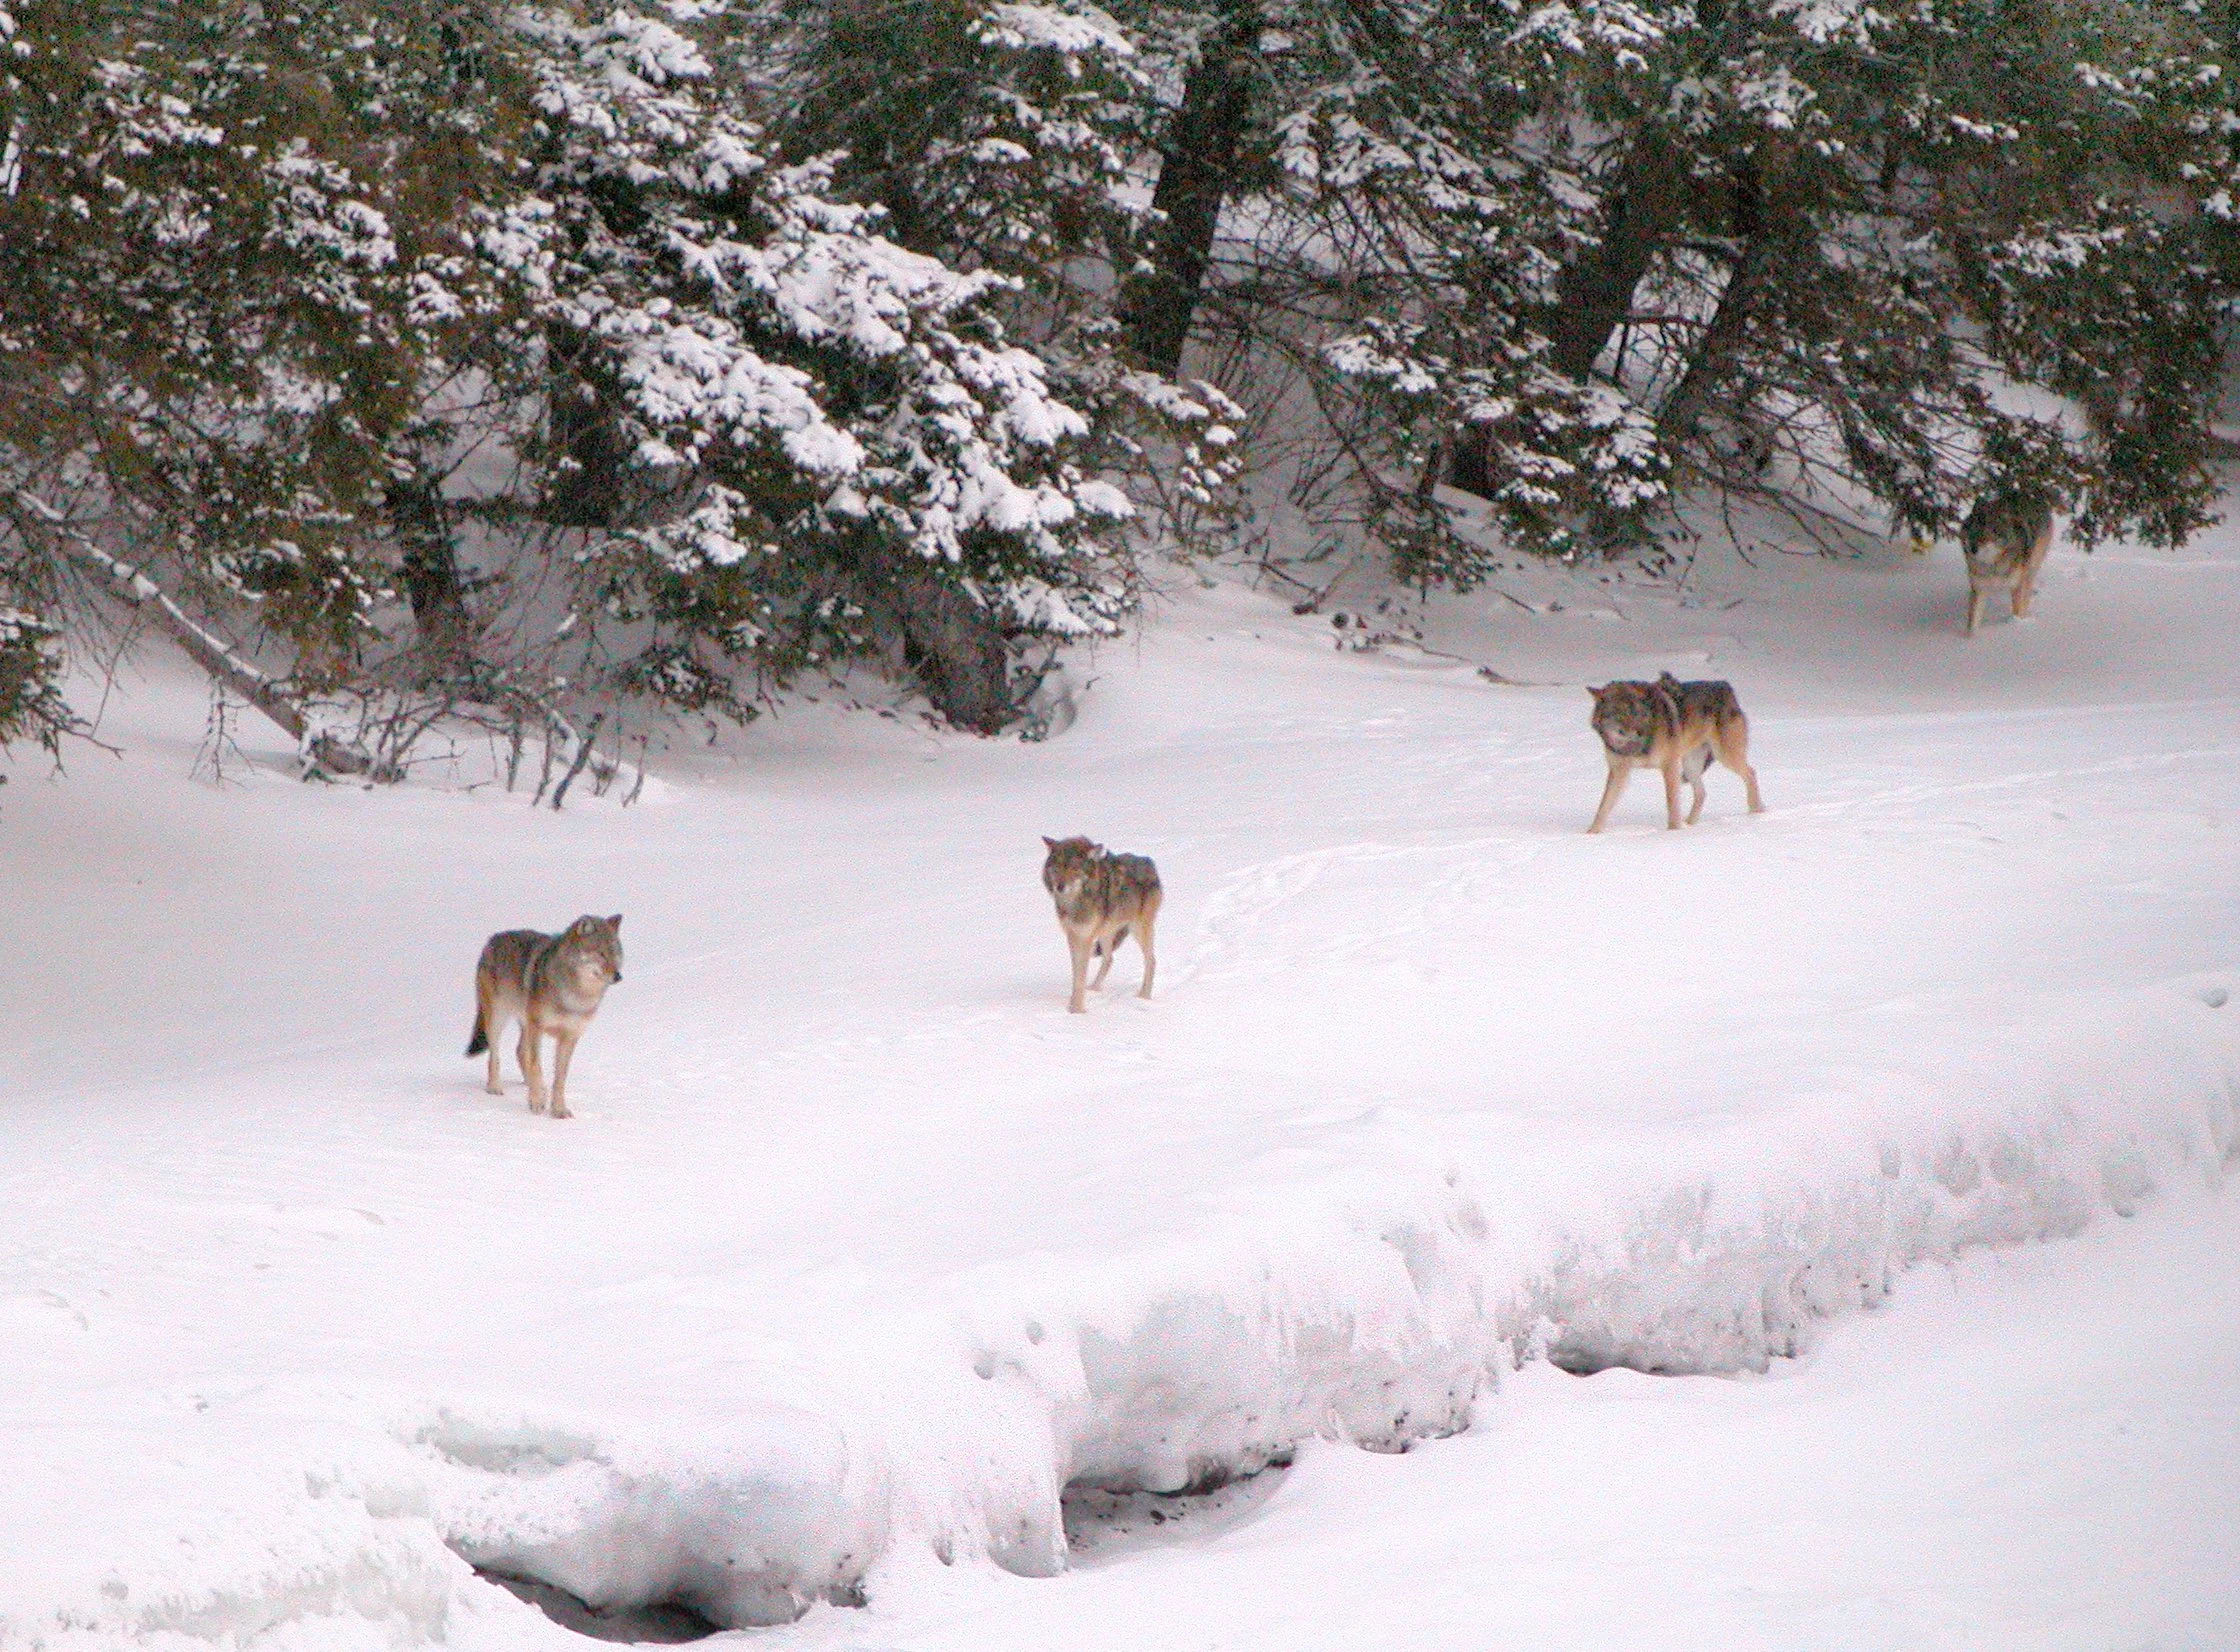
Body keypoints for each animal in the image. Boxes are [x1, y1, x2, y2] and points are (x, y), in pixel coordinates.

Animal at [465, 914, 624, 1119]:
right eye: (601, 953)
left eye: (615, 953)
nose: (618, 976)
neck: (574, 995)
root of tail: (492, 939)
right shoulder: (537, 1027)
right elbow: (536, 1066)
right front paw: (537, 1101)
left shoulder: (569, 1036)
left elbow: (559, 1078)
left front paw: (558, 1109)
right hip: (498, 1020)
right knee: (495, 1055)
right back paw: (495, 1087)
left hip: (524, 1024)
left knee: (519, 1051)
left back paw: (537, 1087)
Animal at [1041, 836, 1162, 1014]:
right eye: (1057, 868)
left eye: (1074, 868)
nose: (1060, 887)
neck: (1076, 901)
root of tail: (1148, 861)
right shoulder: (1073, 936)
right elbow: (1076, 975)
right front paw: (1073, 1006)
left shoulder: (1085, 938)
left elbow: (1080, 976)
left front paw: (1077, 1010)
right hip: (1107, 931)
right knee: (1109, 958)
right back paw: (1094, 988)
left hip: (1139, 929)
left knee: (1151, 961)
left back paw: (1143, 997)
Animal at [1586, 673, 1765, 833]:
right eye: (1619, 713)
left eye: (1637, 712)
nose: (1639, 732)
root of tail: (1724, 685)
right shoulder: (1619, 771)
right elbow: (1603, 806)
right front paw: (1591, 834)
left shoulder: (1669, 765)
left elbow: (1672, 803)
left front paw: (1673, 832)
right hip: (1690, 766)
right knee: (1702, 793)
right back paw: (1689, 824)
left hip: (1725, 757)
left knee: (1751, 773)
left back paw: (1756, 812)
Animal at [1961, 490, 2055, 636]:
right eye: (1973, 532)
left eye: (1988, 535)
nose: (1972, 549)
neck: (1992, 565)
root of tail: (2030, 495)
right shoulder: (1979, 588)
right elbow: (1973, 623)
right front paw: (1970, 638)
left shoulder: (2017, 586)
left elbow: (2018, 611)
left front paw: (2016, 626)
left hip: (2031, 568)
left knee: (2028, 589)